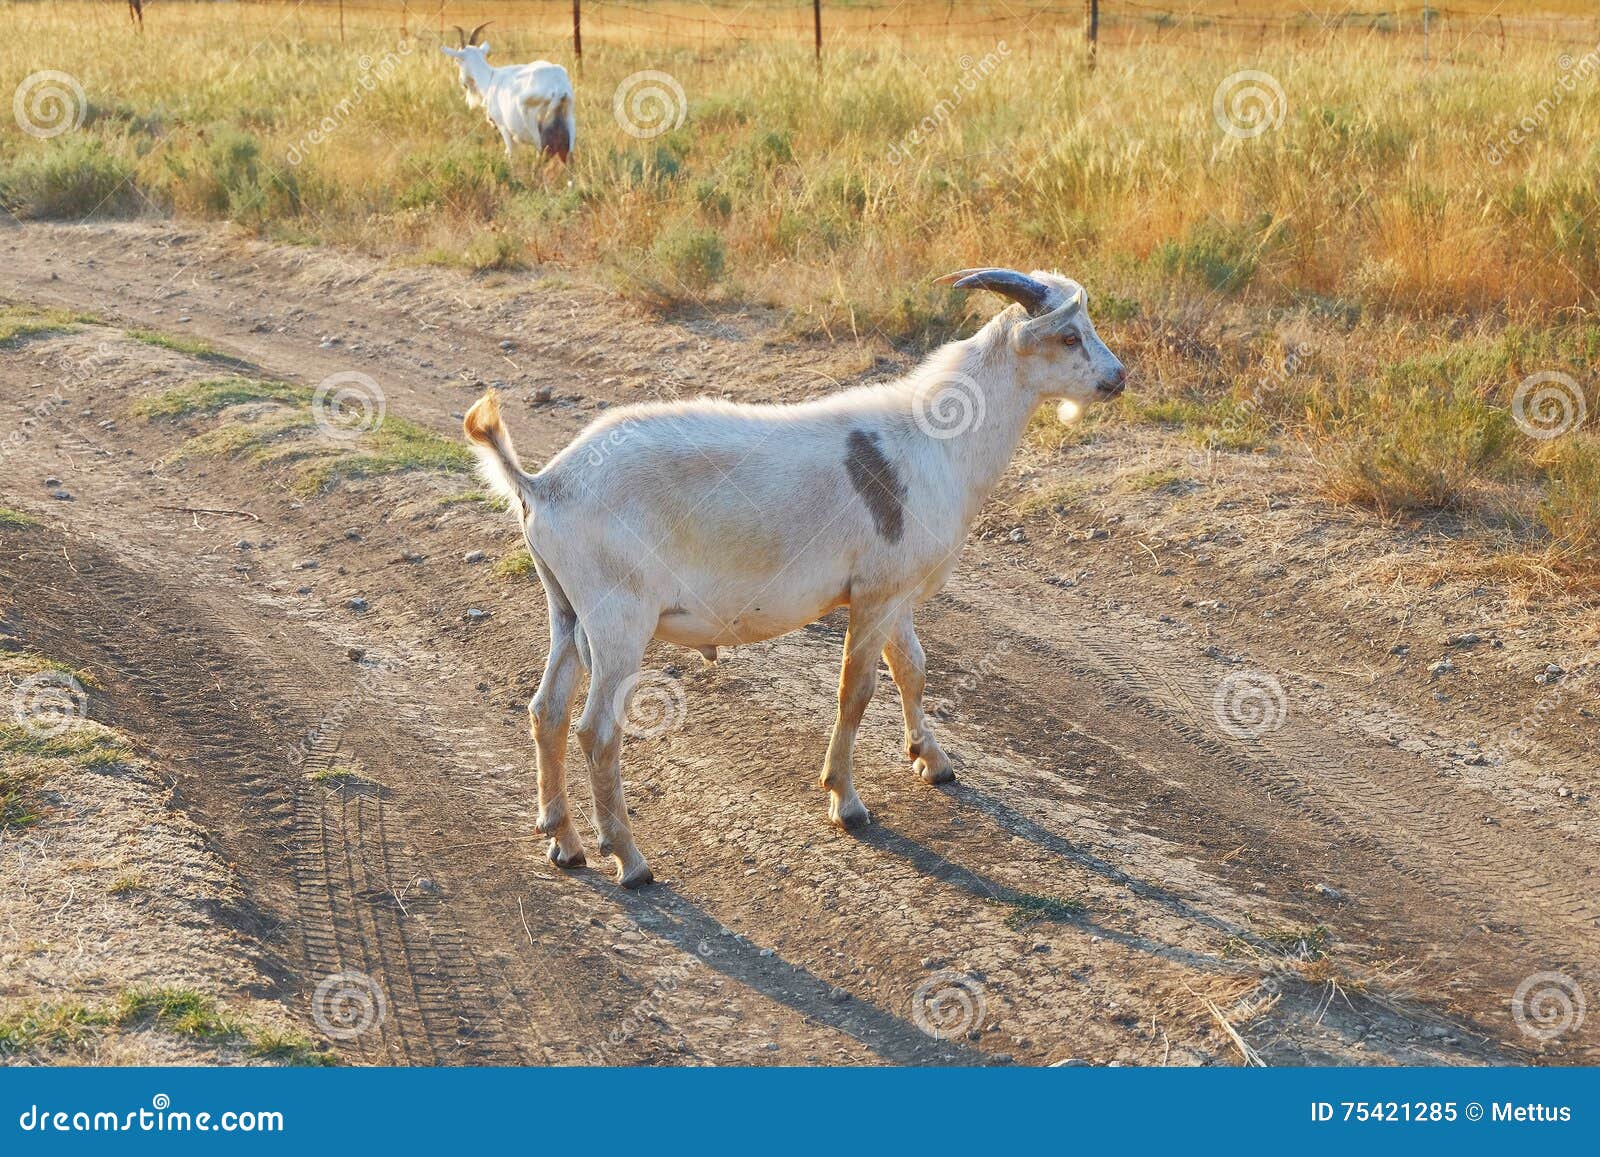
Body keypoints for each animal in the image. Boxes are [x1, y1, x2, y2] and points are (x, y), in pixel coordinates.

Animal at [440, 23, 574, 162]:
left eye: (457, 60)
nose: (463, 83)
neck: (491, 78)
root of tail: (558, 87)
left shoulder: (503, 128)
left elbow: (510, 155)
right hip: (568, 124)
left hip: (536, 130)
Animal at [463, 268, 1127, 888]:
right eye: (1069, 335)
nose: (1118, 378)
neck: (937, 441)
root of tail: (543, 485)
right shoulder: (875, 595)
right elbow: (856, 691)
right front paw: (847, 803)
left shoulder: (894, 594)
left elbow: (912, 669)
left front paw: (932, 762)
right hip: (617, 619)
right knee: (597, 731)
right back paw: (629, 859)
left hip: (566, 609)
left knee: (547, 712)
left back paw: (565, 843)